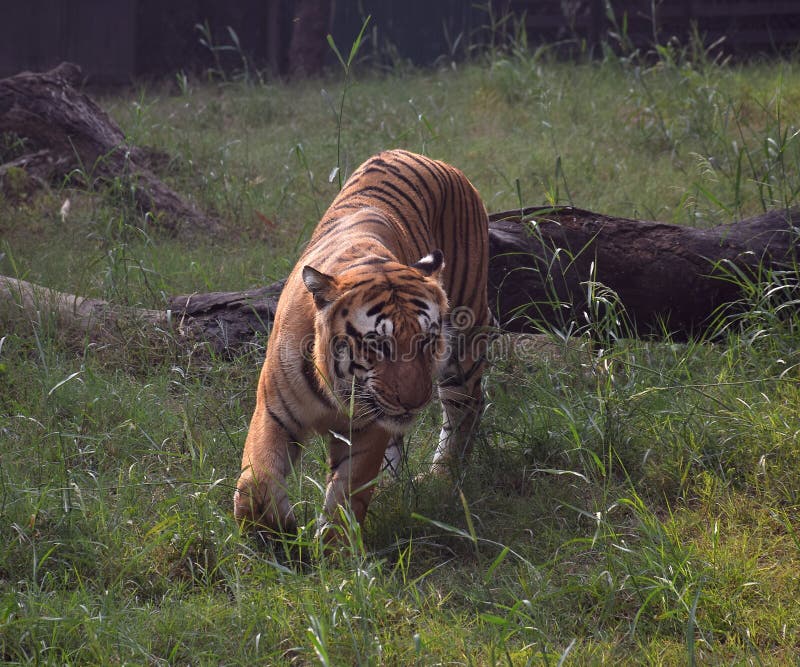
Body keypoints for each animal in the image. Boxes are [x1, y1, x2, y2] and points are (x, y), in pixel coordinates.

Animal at [234, 149, 492, 541]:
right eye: (378, 345)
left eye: (426, 341)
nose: (414, 401)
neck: (336, 390)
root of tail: (418, 154)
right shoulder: (273, 411)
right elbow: (257, 483)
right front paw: (280, 535)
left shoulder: (368, 430)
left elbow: (345, 496)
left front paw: (329, 547)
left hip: (465, 347)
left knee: (466, 409)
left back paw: (442, 476)